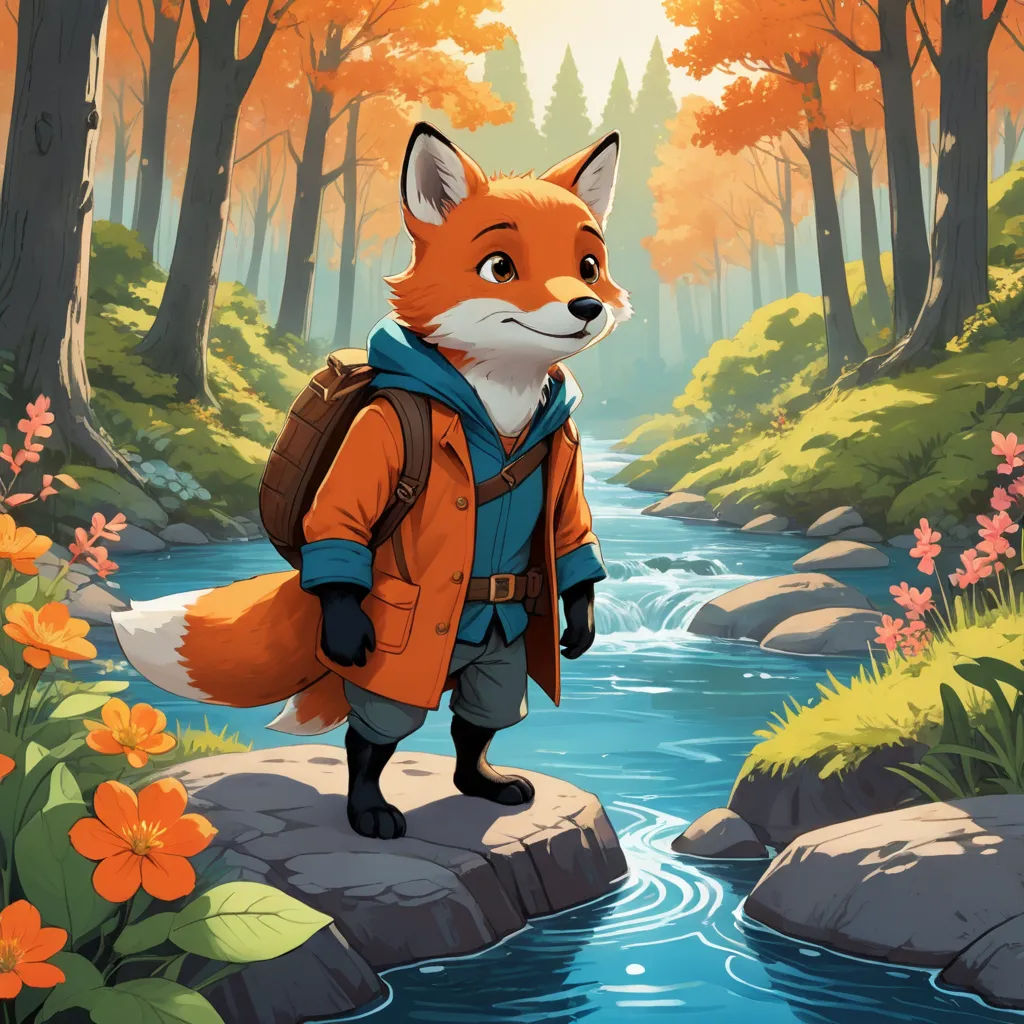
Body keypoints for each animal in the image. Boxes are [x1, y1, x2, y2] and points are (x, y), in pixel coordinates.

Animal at [112, 122, 631, 841]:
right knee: (375, 732)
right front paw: (346, 637)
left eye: (588, 265)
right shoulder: (382, 436)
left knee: (481, 717)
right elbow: (343, 520)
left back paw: (481, 782)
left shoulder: (565, 460)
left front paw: (578, 622)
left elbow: (568, 537)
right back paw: (369, 809)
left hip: (496, 654)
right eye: (500, 267)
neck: (498, 408)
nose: (585, 306)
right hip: (399, 656)